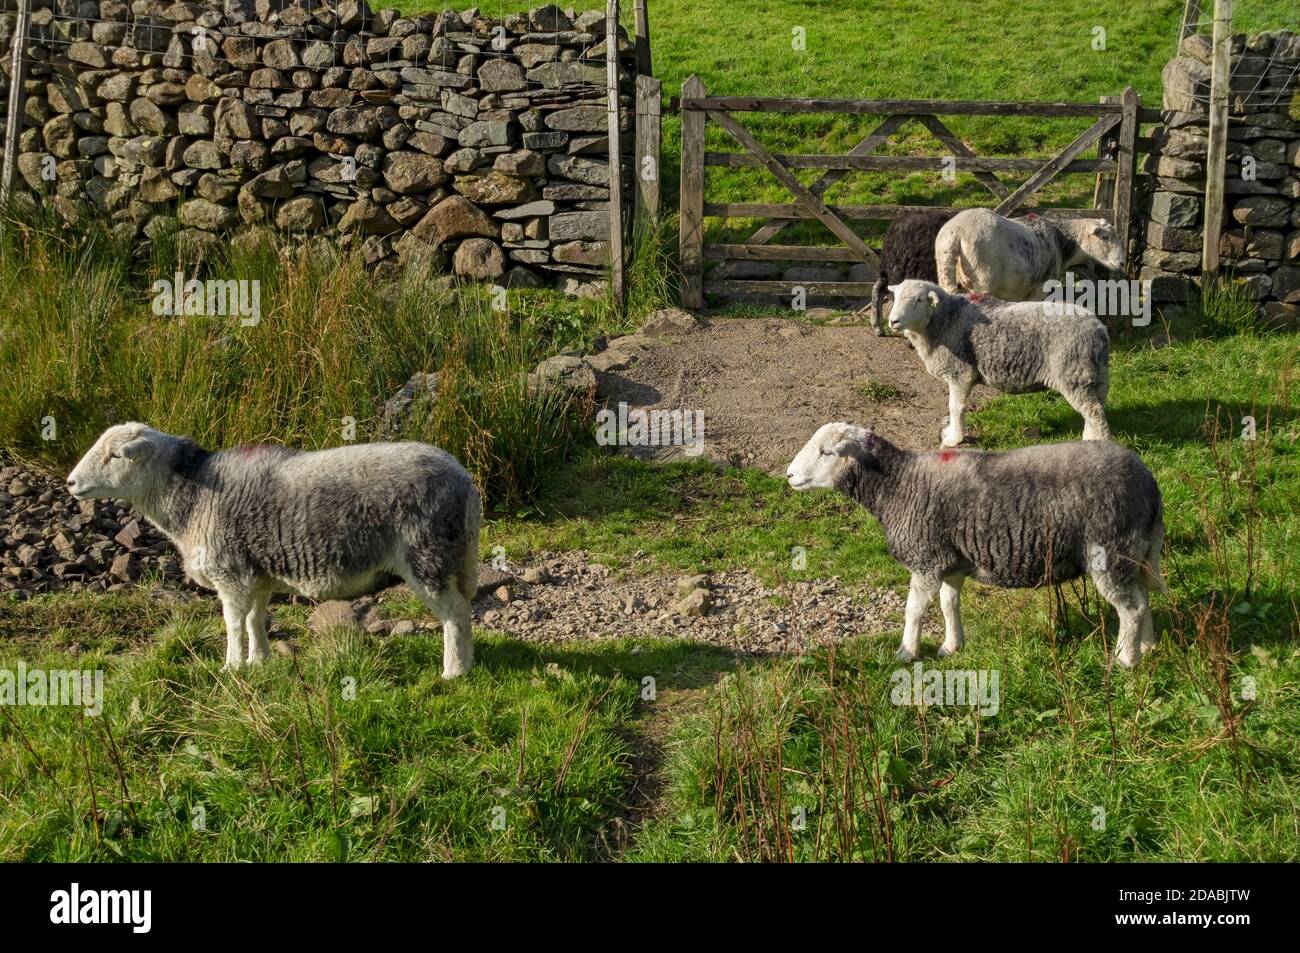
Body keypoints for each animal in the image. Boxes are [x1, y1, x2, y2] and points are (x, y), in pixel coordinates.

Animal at [66, 423, 481, 677]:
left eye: (117, 455)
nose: (70, 483)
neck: (191, 496)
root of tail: (464, 480)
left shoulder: (230, 573)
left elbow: (233, 623)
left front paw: (232, 667)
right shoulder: (257, 574)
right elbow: (254, 620)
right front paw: (259, 662)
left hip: (428, 554)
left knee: (457, 615)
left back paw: (454, 672)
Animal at [786, 422, 1166, 667]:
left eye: (825, 452)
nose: (788, 475)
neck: (899, 485)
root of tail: (1148, 483)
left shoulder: (926, 558)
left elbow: (914, 610)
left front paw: (907, 653)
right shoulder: (950, 561)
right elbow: (948, 604)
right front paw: (951, 646)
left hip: (1109, 550)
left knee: (1131, 607)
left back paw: (1125, 660)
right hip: (1136, 553)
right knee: (1143, 598)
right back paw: (1147, 647)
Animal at [887, 279, 1111, 448]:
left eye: (918, 300)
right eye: (896, 298)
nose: (893, 321)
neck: (946, 320)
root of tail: (1098, 328)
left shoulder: (961, 372)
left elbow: (955, 407)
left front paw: (954, 439)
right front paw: (951, 432)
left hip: (1073, 371)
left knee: (1094, 412)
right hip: (1095, 373)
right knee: (1097, 408)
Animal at [934, 208, 1125, 301]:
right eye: (1105, 237)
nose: (1123, 263)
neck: (1060, 239)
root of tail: (955, 233)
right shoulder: (1041, 286)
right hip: (983, 279)